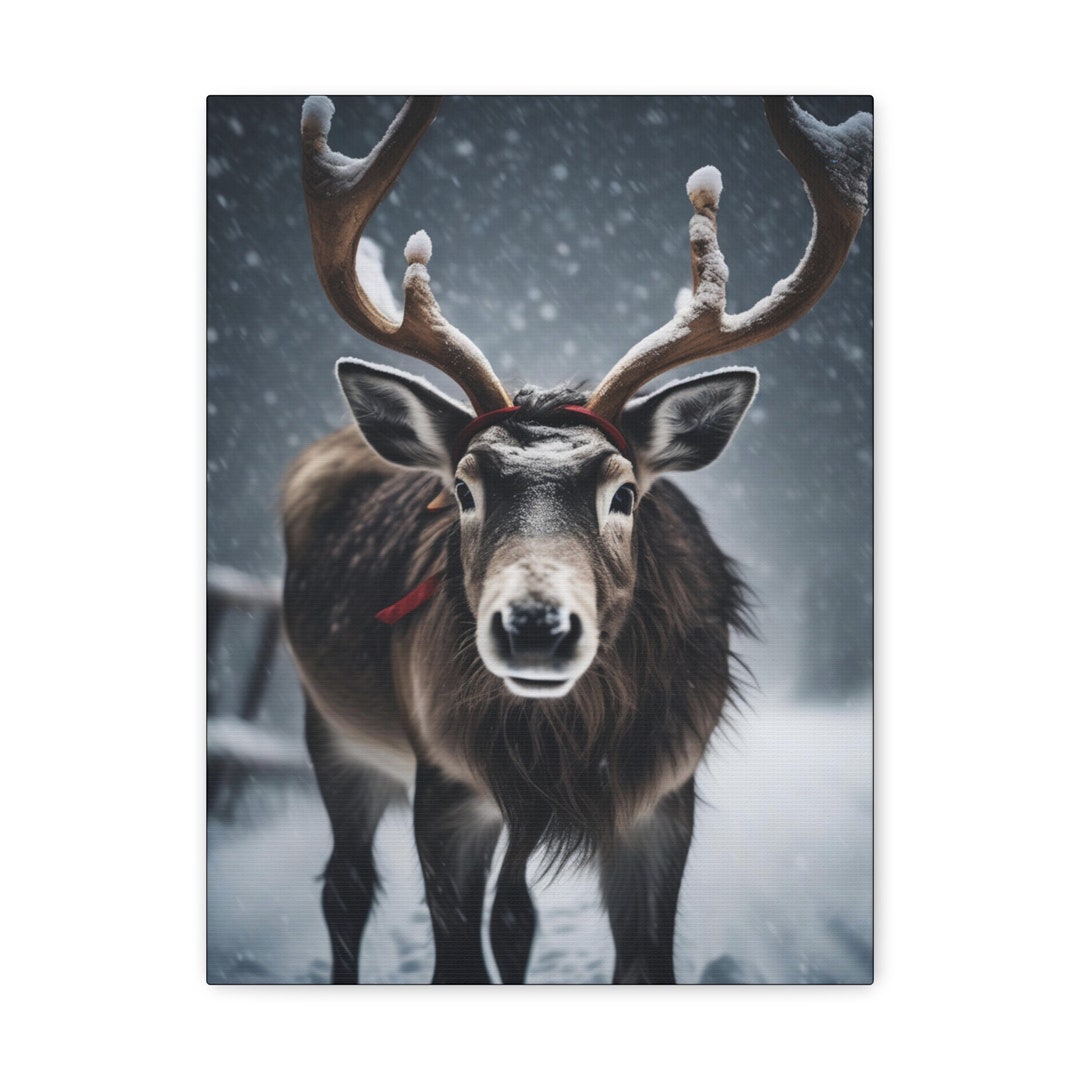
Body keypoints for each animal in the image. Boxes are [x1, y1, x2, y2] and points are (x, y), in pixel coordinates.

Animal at [281, 95, 873, 984]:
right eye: (462, 488)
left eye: (625, 492)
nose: (535, 626)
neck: (566, 749)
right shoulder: (444, 779)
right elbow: (454, 961)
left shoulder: (665, 796)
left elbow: (643, 960)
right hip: (333, 730)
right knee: (345, 887)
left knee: (513, 912)